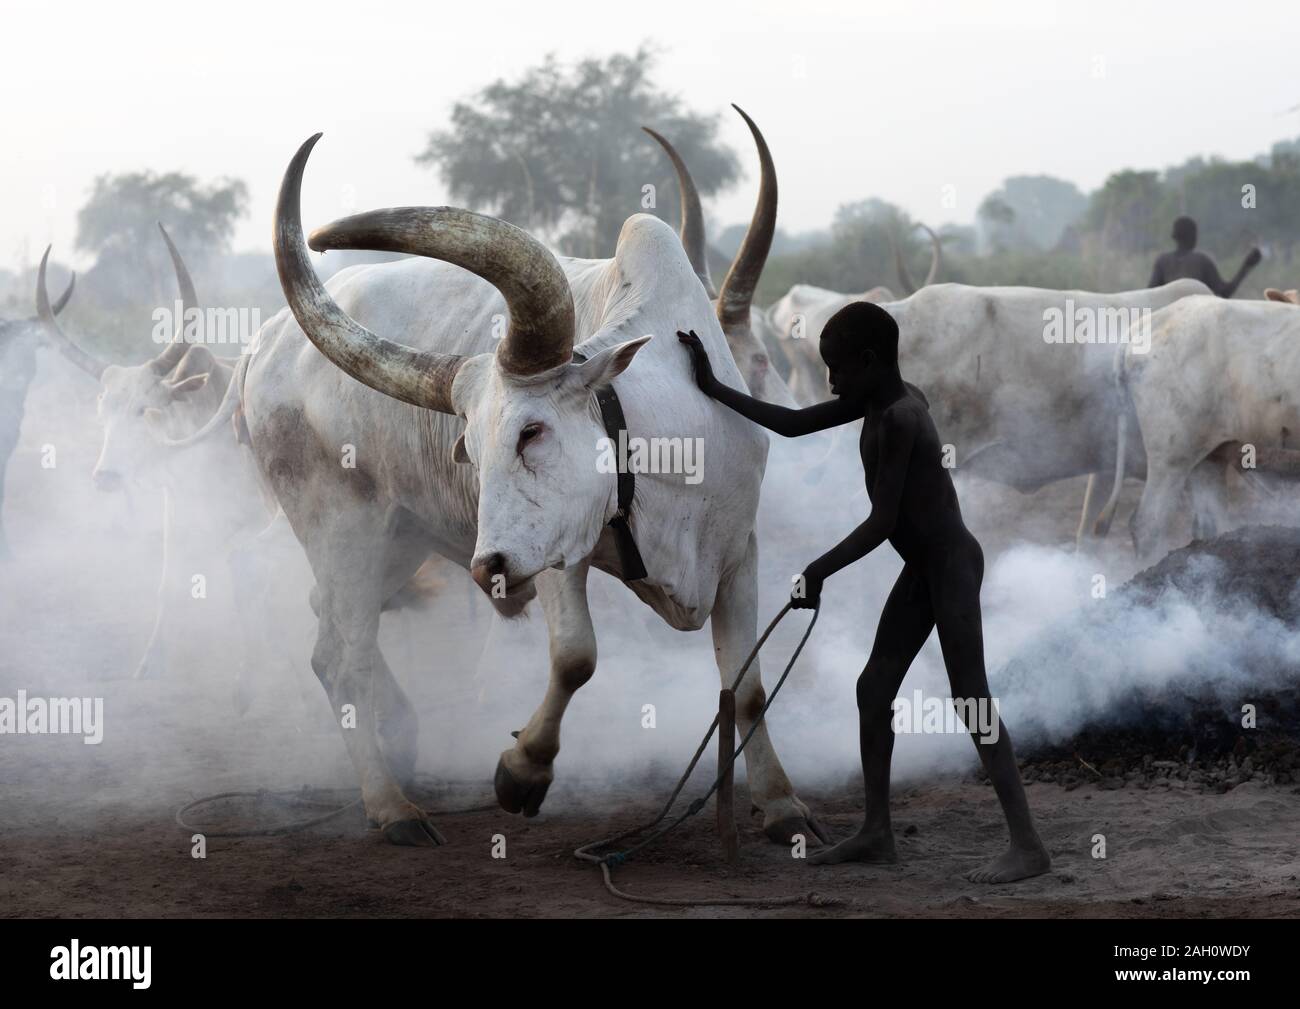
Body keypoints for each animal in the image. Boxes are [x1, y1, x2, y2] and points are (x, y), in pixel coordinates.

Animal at [217, 133, 821, 847]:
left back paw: (403, 741)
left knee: (327, 626)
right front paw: (522, 771)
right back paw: (391, 807)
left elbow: (747, 681)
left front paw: (781, 803)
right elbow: (576, 658)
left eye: (532, 431)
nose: (492, 570)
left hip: (402, 537)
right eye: (470, 450)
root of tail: (263, 345)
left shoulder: (737, 551)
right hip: (342, 526)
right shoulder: (559, 553)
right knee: (340, 655)